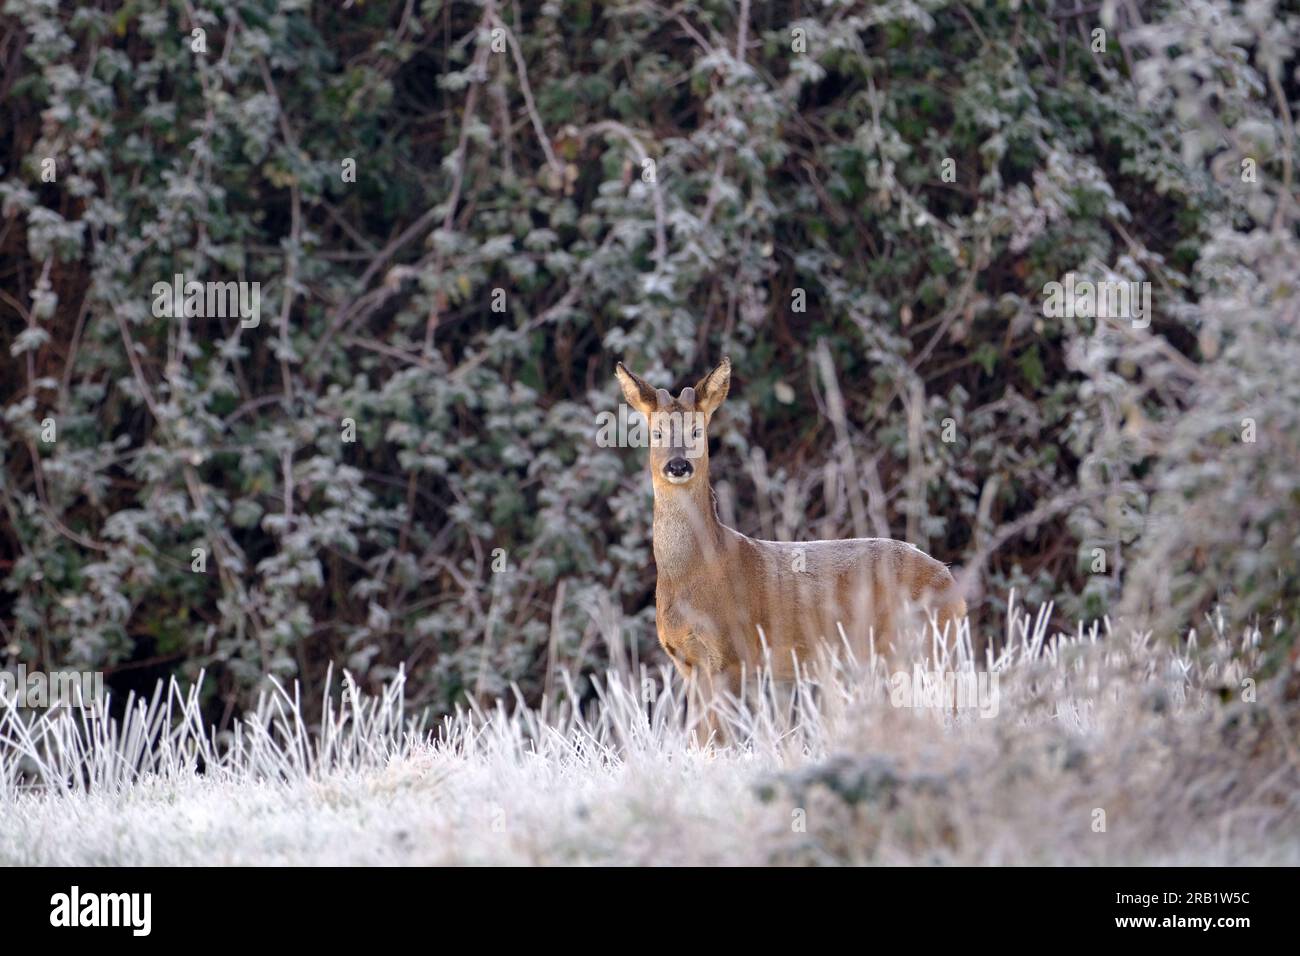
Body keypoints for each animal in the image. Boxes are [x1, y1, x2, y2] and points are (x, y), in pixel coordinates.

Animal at [615, 356, 966, 737]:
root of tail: (952, 585)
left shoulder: (733, 653)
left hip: (923, 645)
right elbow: (699, 738)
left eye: (697, 431)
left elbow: (721, 739)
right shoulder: (687, 661)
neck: (695, 570)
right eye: (657, 433)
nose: (678, 465)